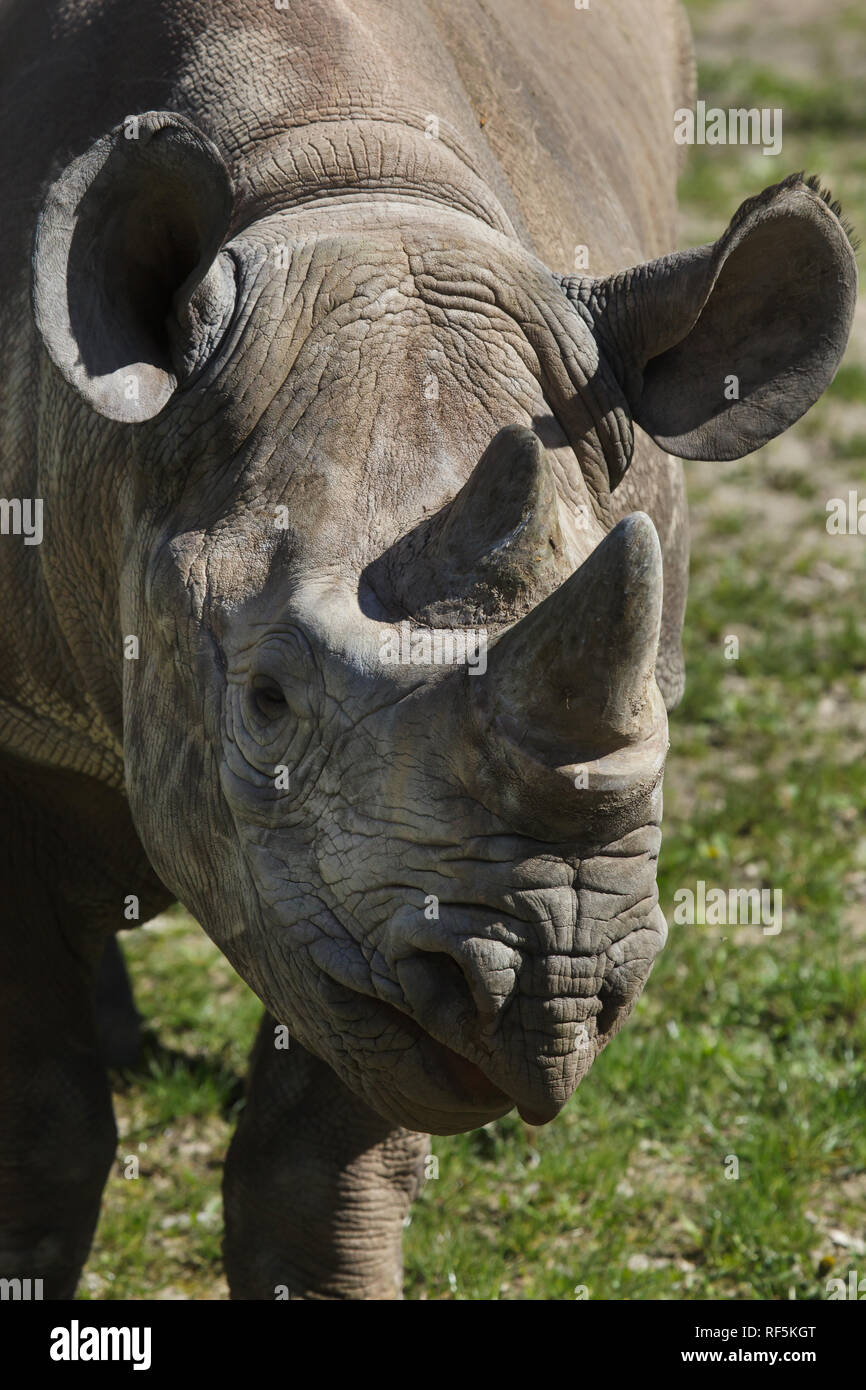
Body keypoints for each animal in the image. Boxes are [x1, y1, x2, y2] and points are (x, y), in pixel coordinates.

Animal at [0, 0, 856, 1300]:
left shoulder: (366, 914)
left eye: (661, 695)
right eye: (263, 701)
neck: (335, 183)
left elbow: (318, 1165)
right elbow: (43, 1130)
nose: (551, 987)